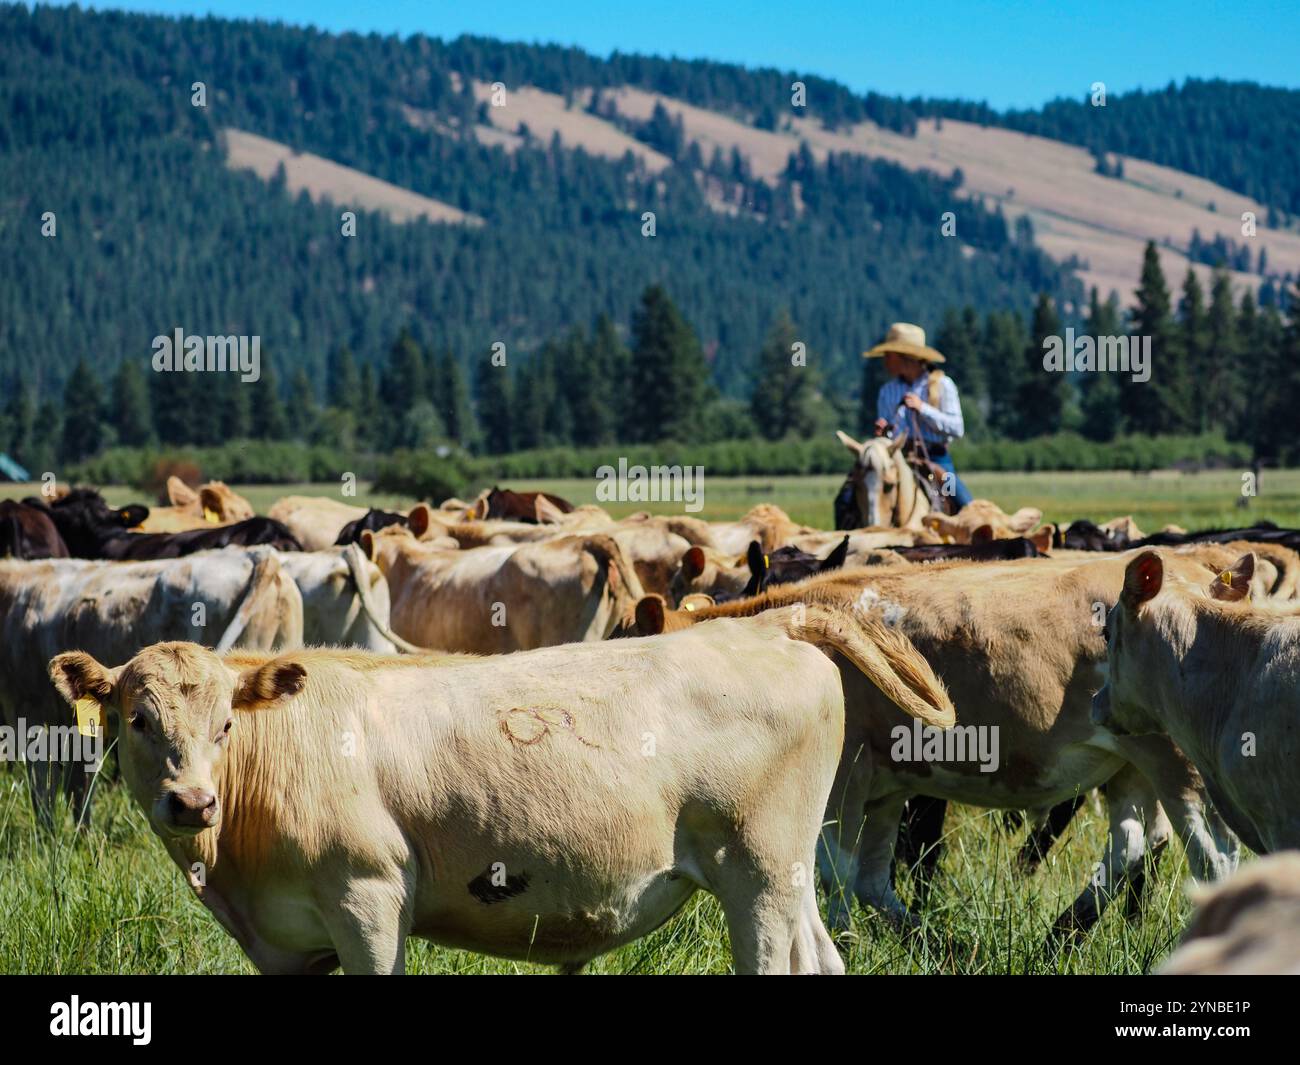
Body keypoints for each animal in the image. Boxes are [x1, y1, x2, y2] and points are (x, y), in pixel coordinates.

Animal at [46, 607, 953, 973]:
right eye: (135, 719)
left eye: (227, 723)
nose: (191, 802)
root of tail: (763, 621)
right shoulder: (288, 946)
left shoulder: (368, 902)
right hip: (791, 873)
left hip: (758, 873)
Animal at [625, 550, 1246, 936]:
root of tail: (1199, 568)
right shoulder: (885, 789)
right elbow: (872, 882)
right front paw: (931, 942)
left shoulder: (843, 781)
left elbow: (835, 876)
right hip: (1129, 768)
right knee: (1131, 846)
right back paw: (1058, 938)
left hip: (1178, 767)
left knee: (1212, 858)